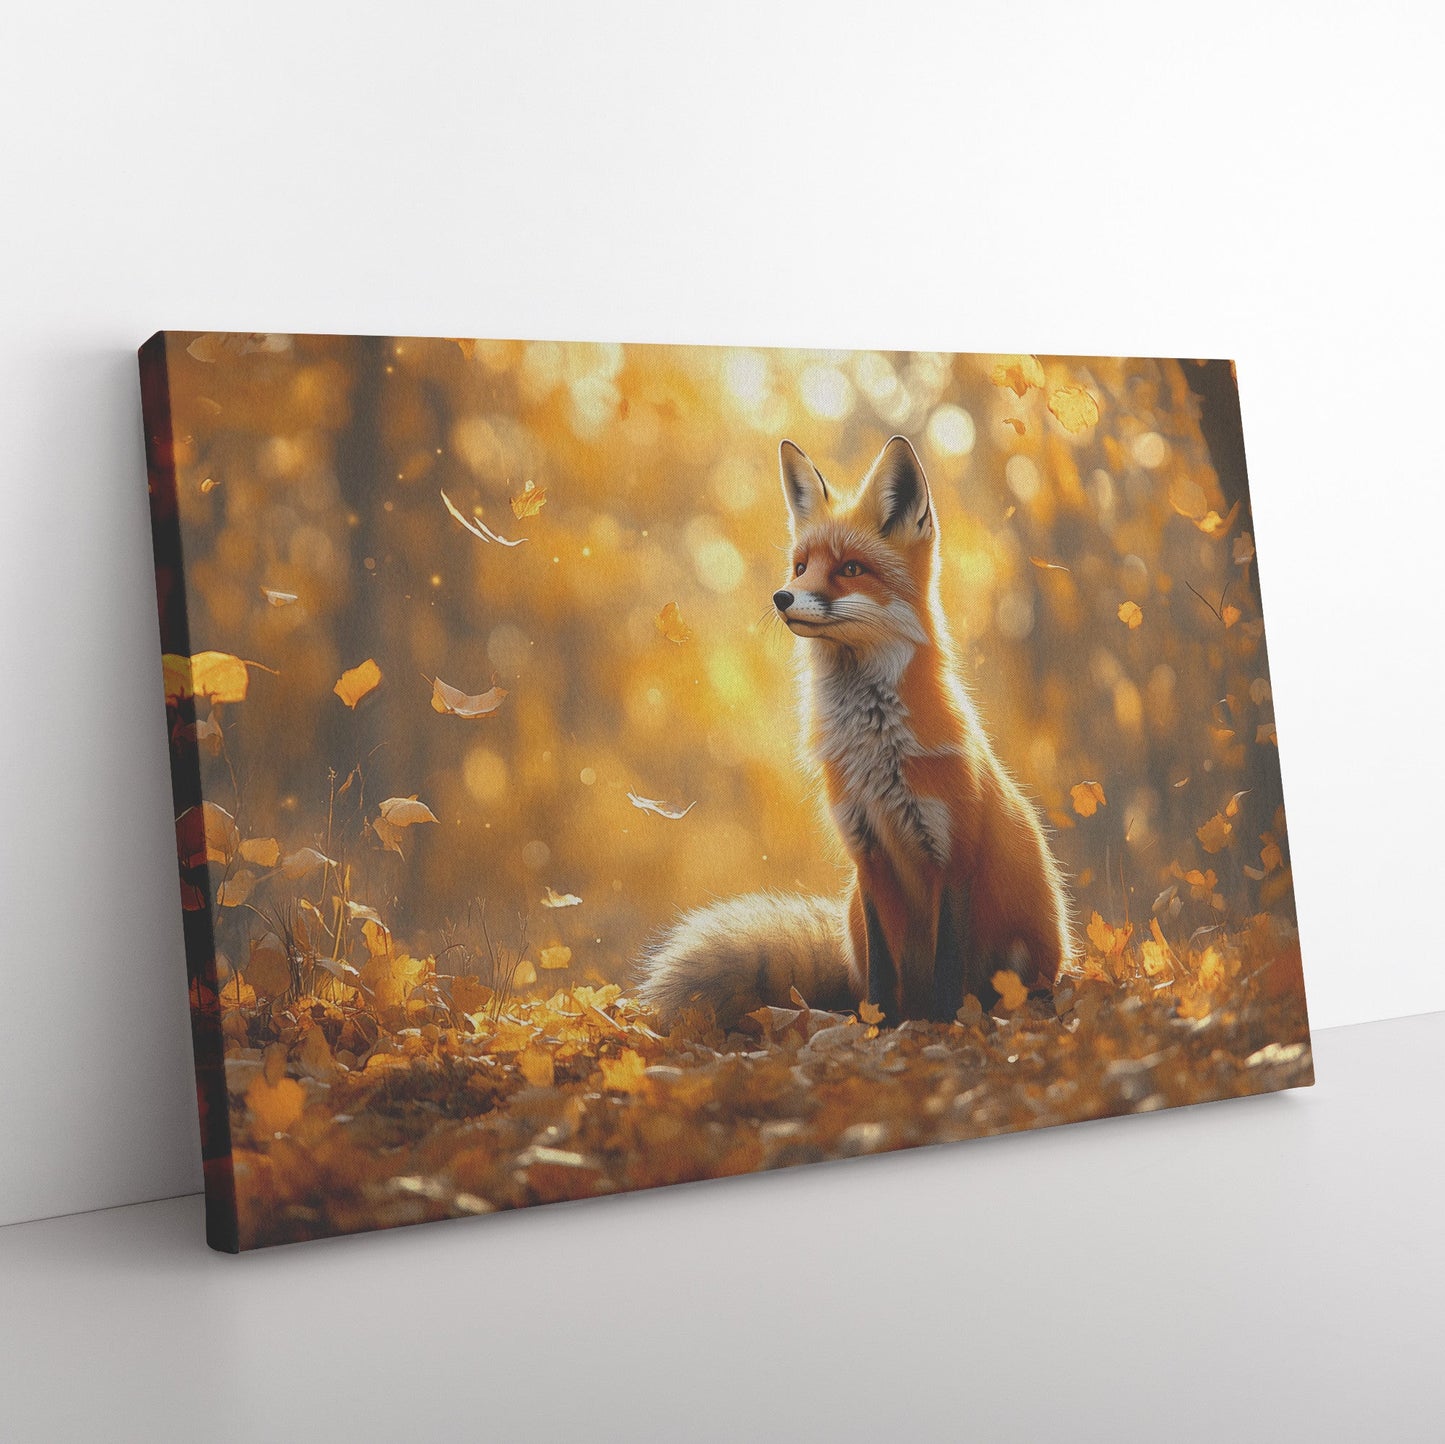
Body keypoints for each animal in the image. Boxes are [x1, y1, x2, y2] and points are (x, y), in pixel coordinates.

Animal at [637, 434, 1072, 1028]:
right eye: (800, 566)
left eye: (849, 568)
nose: (781, 597)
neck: (875, 748)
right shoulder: (866, 854)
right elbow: (883, 973)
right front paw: (876, 1026)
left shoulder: (953, 856)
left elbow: (949, 965)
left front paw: (943, 1026)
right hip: (851, 916)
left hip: (1026, 953)